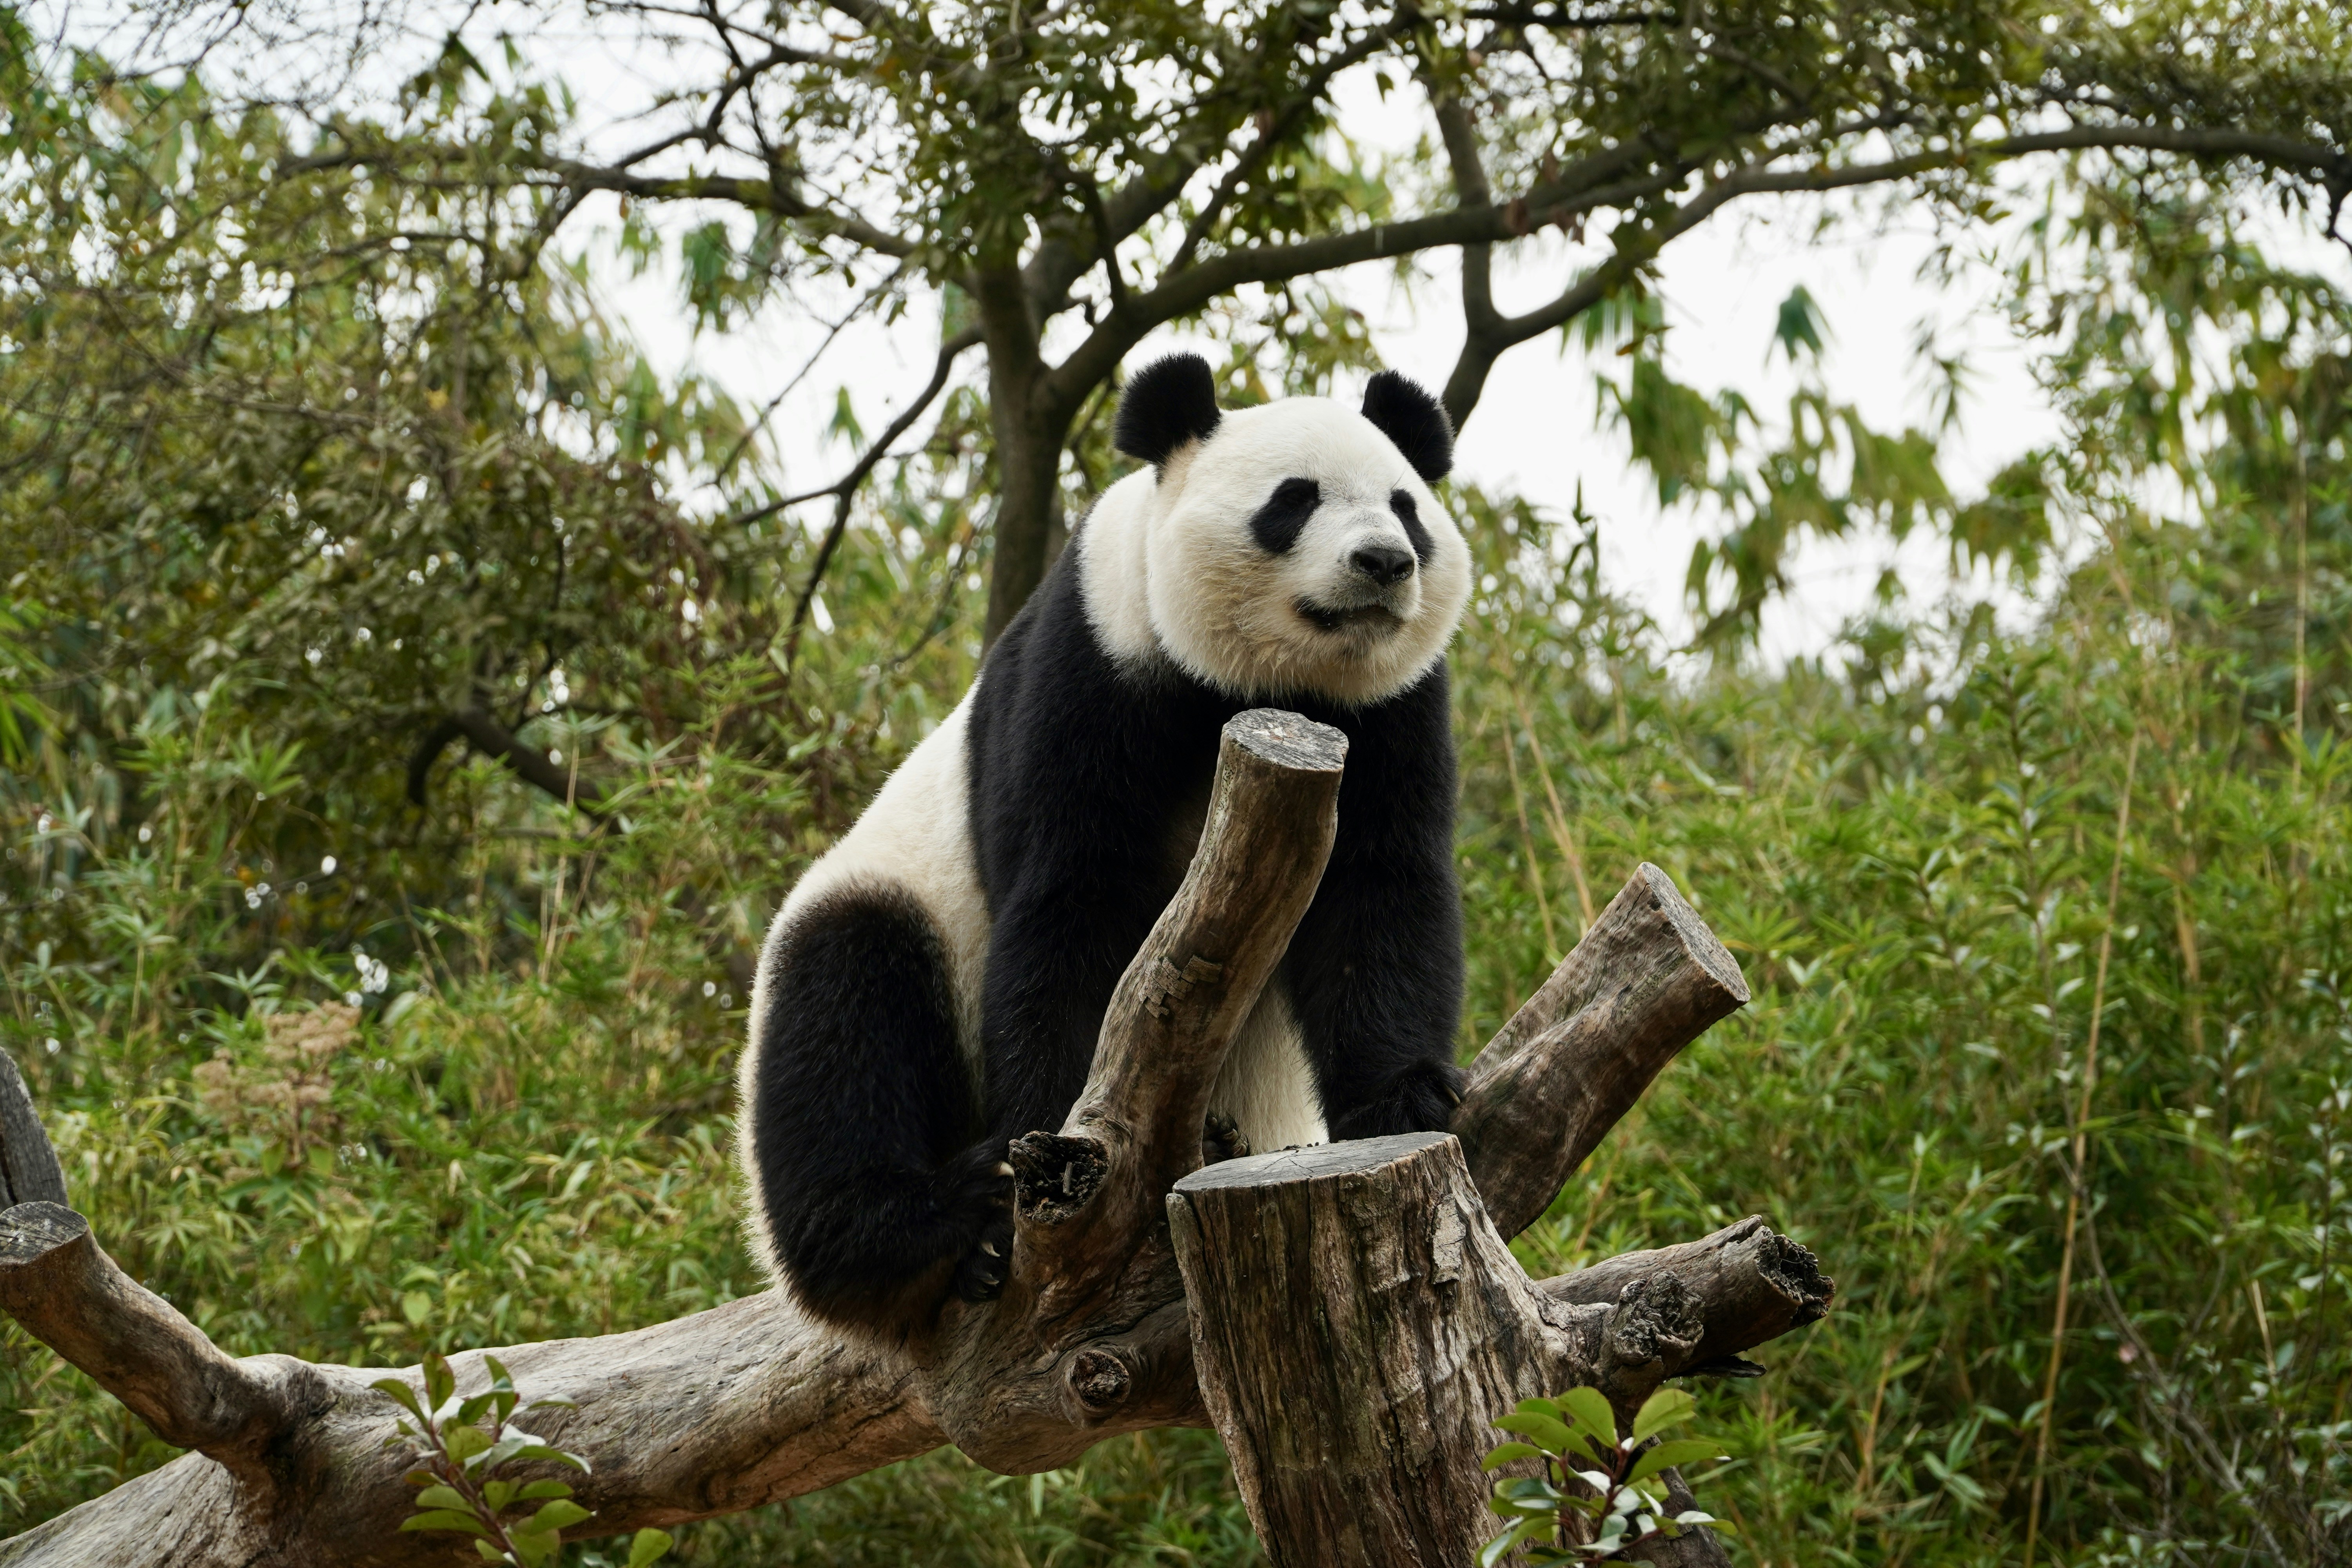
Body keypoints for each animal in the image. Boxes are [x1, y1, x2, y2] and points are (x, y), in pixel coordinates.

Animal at [737, 353, 1473, 1333]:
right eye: (1294, 499)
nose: (1384, 562)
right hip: (888, 906)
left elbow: (1380, 891)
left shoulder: (1388, 712)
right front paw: (1062, 1163)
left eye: (1406, 506)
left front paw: (1407, 1095)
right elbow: (1073, 900)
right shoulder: (1095, 660)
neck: (1258, 689)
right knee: (843, 1012)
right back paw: (936, 1223)